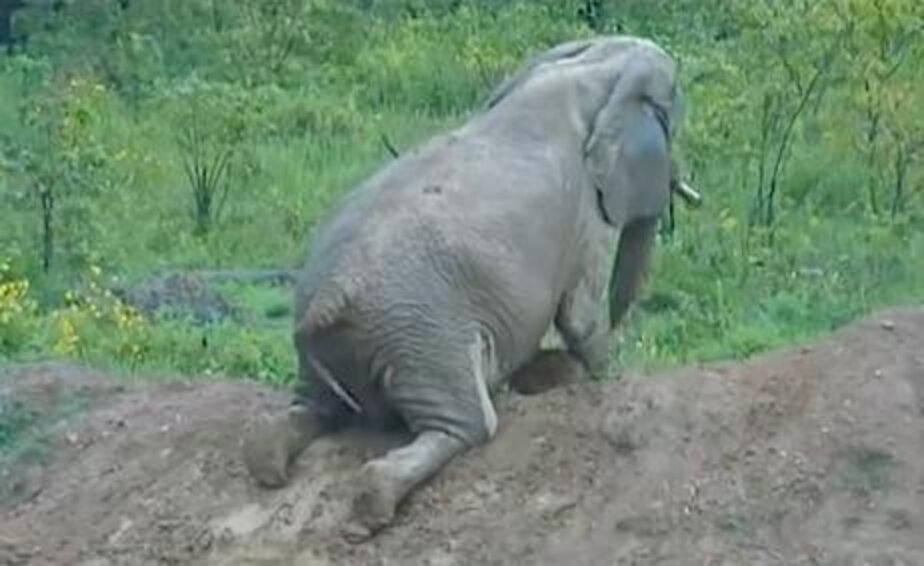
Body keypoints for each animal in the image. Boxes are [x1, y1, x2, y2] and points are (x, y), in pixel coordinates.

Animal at [241, 34, 701, 542]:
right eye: (673, 111)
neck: (587, 70)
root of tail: (326, 301)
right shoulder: (585, 211)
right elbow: (579, 315)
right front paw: (611, 373)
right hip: (422, 333)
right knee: (470, 425)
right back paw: (367, 515)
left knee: (304, 414)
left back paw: (272, 461)